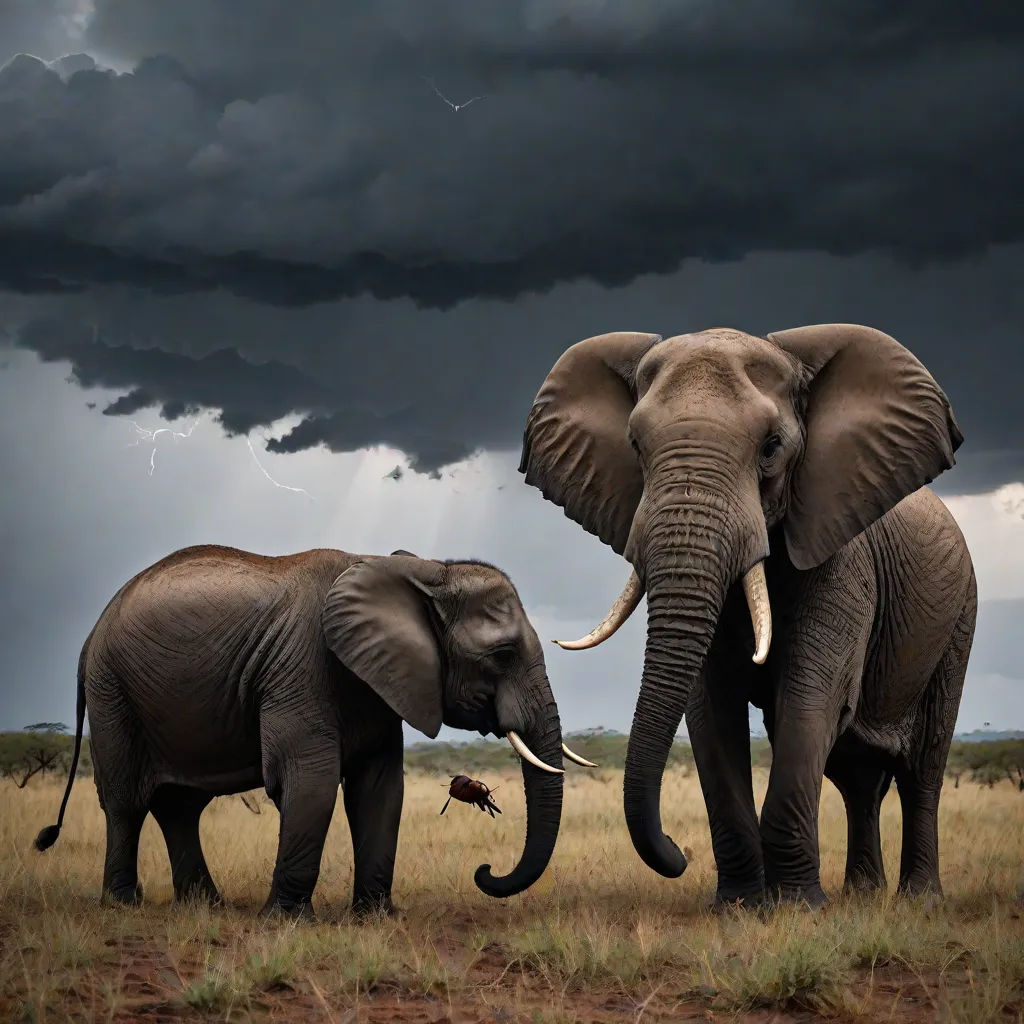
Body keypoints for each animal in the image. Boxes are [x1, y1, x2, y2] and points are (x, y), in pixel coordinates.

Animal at [35, 545, 594, 916]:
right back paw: (123, 906)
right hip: (113, 692)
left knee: (180, 805)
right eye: (502, 654)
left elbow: (379, 790)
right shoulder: (301, 665)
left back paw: (206, 907)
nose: (484, 871)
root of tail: (90, 636)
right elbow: (312, 782)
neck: (422, 569)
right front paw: (285, 920)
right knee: (127, 802)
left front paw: (375, 918)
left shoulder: (380, 683)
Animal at [520, 324, 977, 907]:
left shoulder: (840, 551)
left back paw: (917, 900)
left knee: (922, 766)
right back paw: (861, 897)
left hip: (960, 613)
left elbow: (812, 695)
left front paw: (798, 908)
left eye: (771, 448)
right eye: (635, 446)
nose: (675, 855)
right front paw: (741, 906)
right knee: (856, 776)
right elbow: (711, 706)